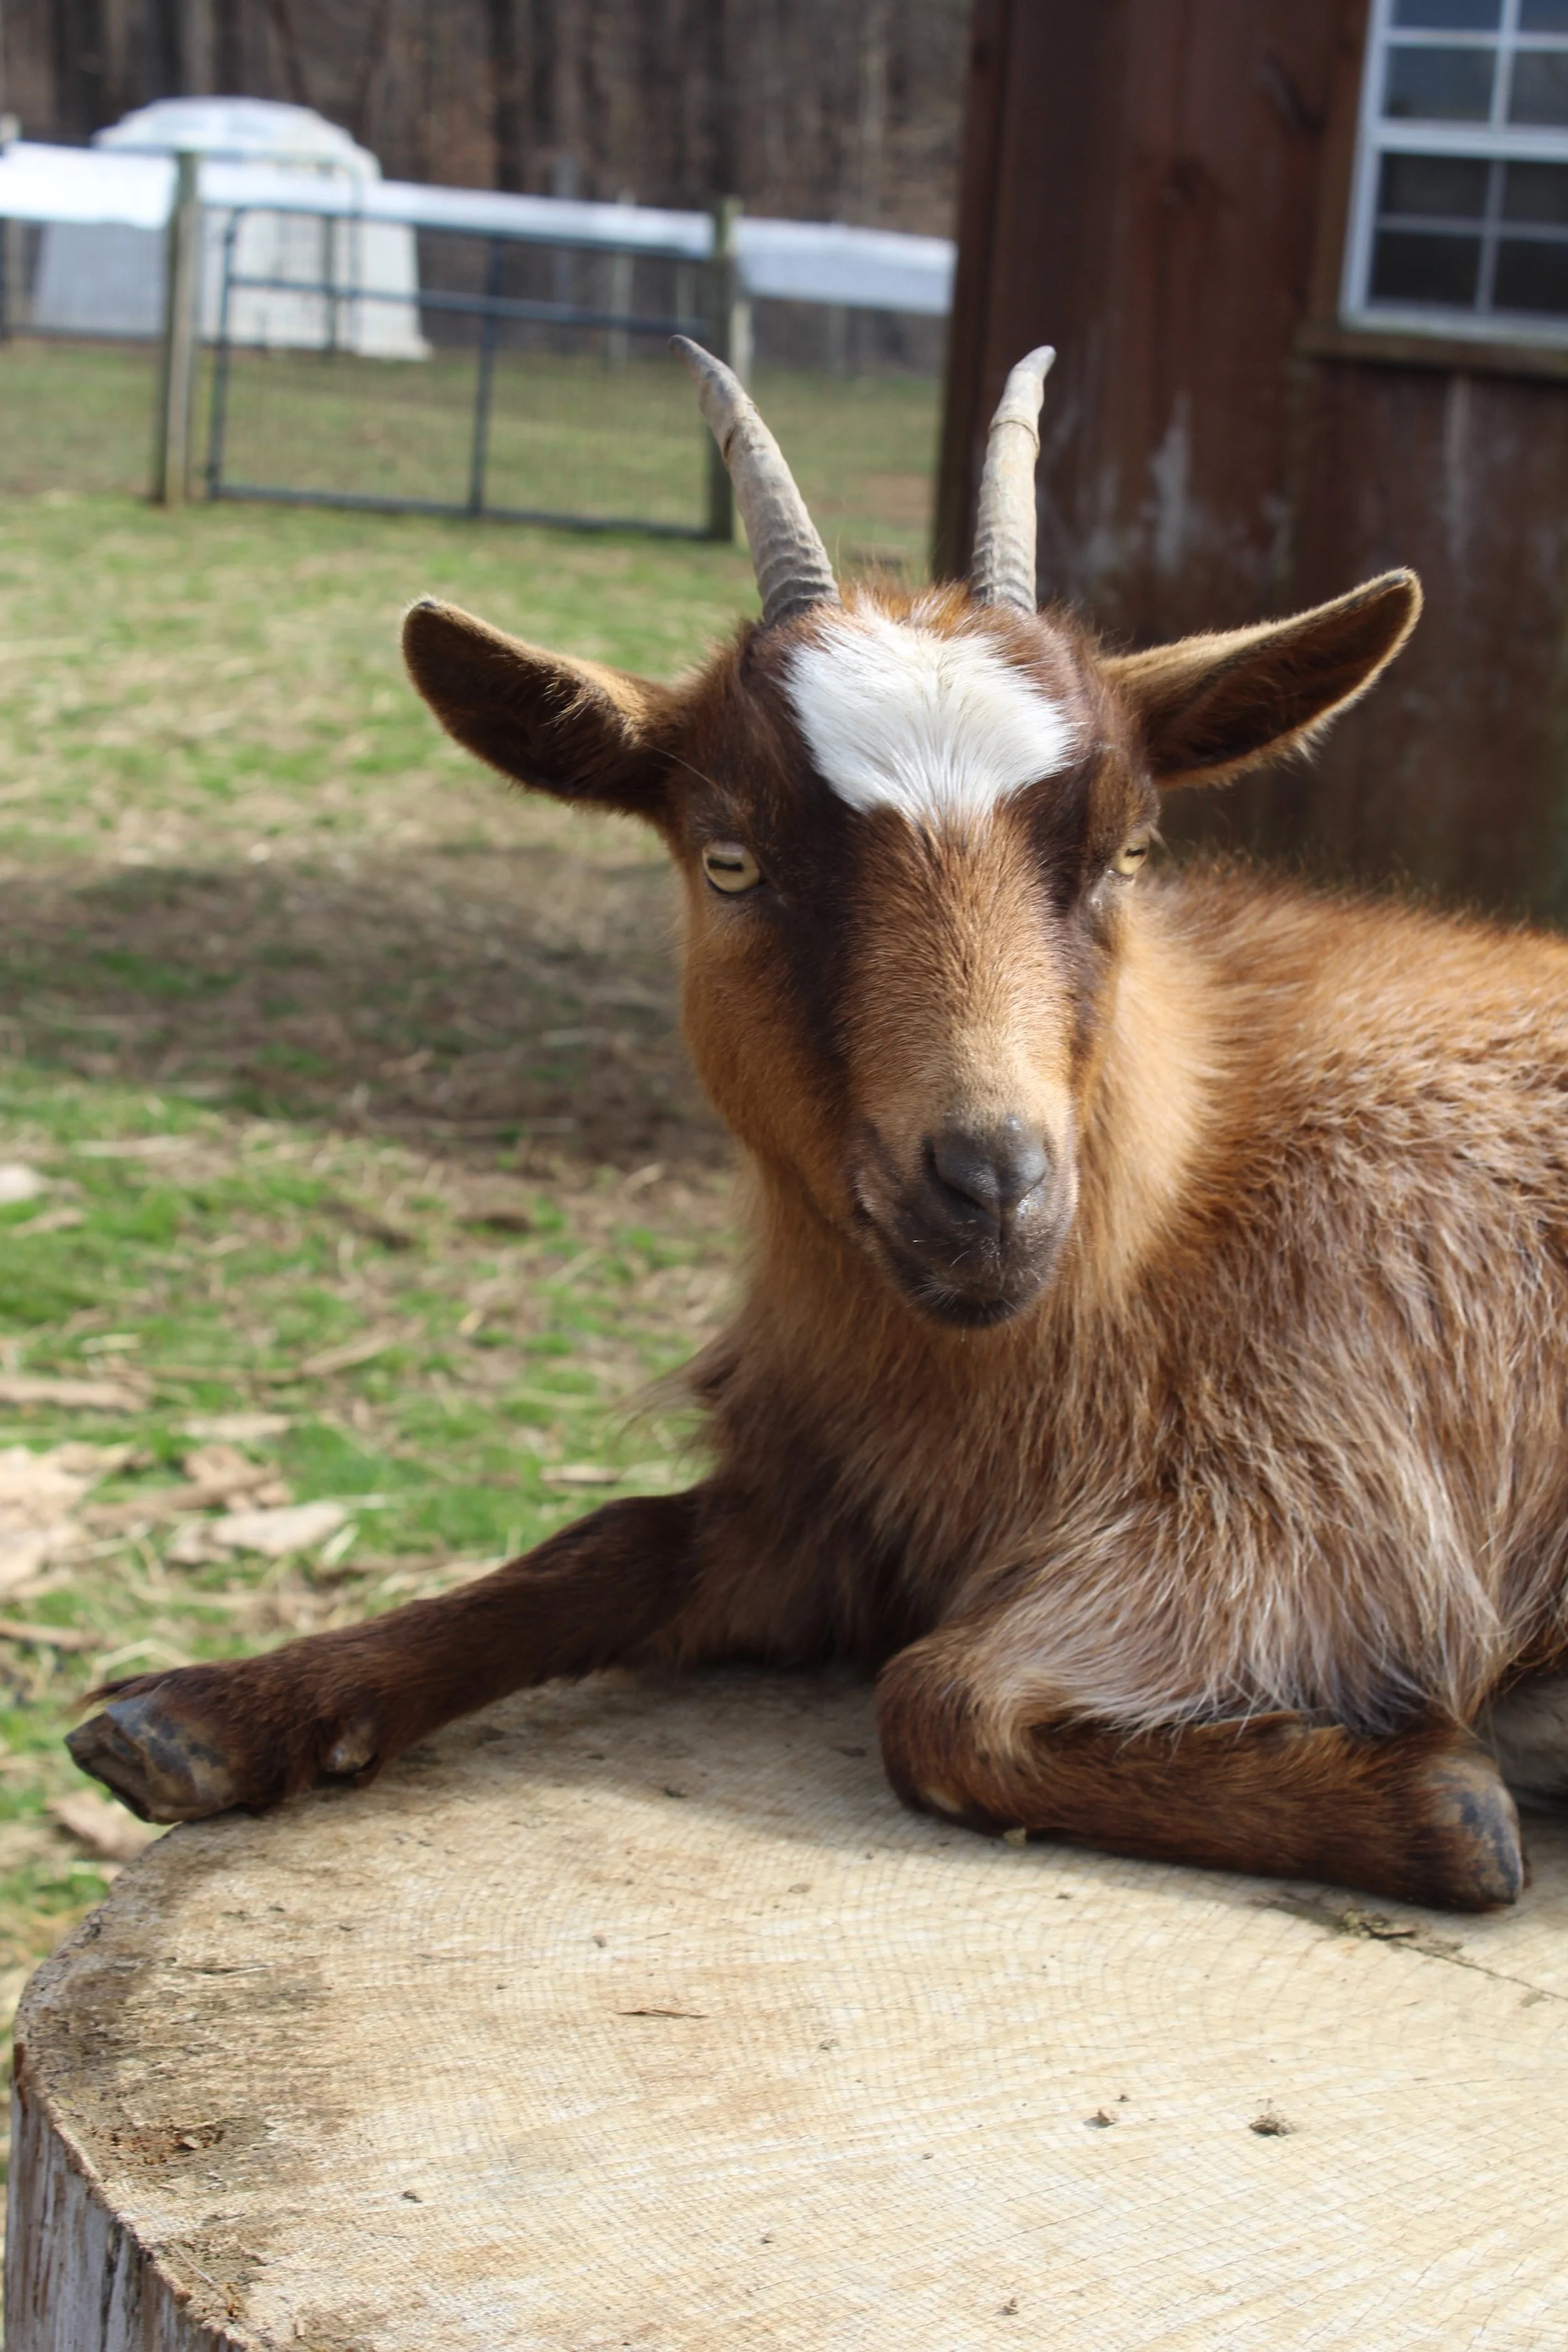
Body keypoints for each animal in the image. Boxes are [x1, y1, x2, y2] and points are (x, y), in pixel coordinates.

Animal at [69, 342, 1568, 1913]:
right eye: (728, 860)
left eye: (1126, 851)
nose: (989, 1186)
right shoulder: (829, 1503)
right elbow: (617, 1541)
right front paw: (217, 1709)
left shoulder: (1333, 1487)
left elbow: (938, 1700)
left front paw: (1441, 1804)